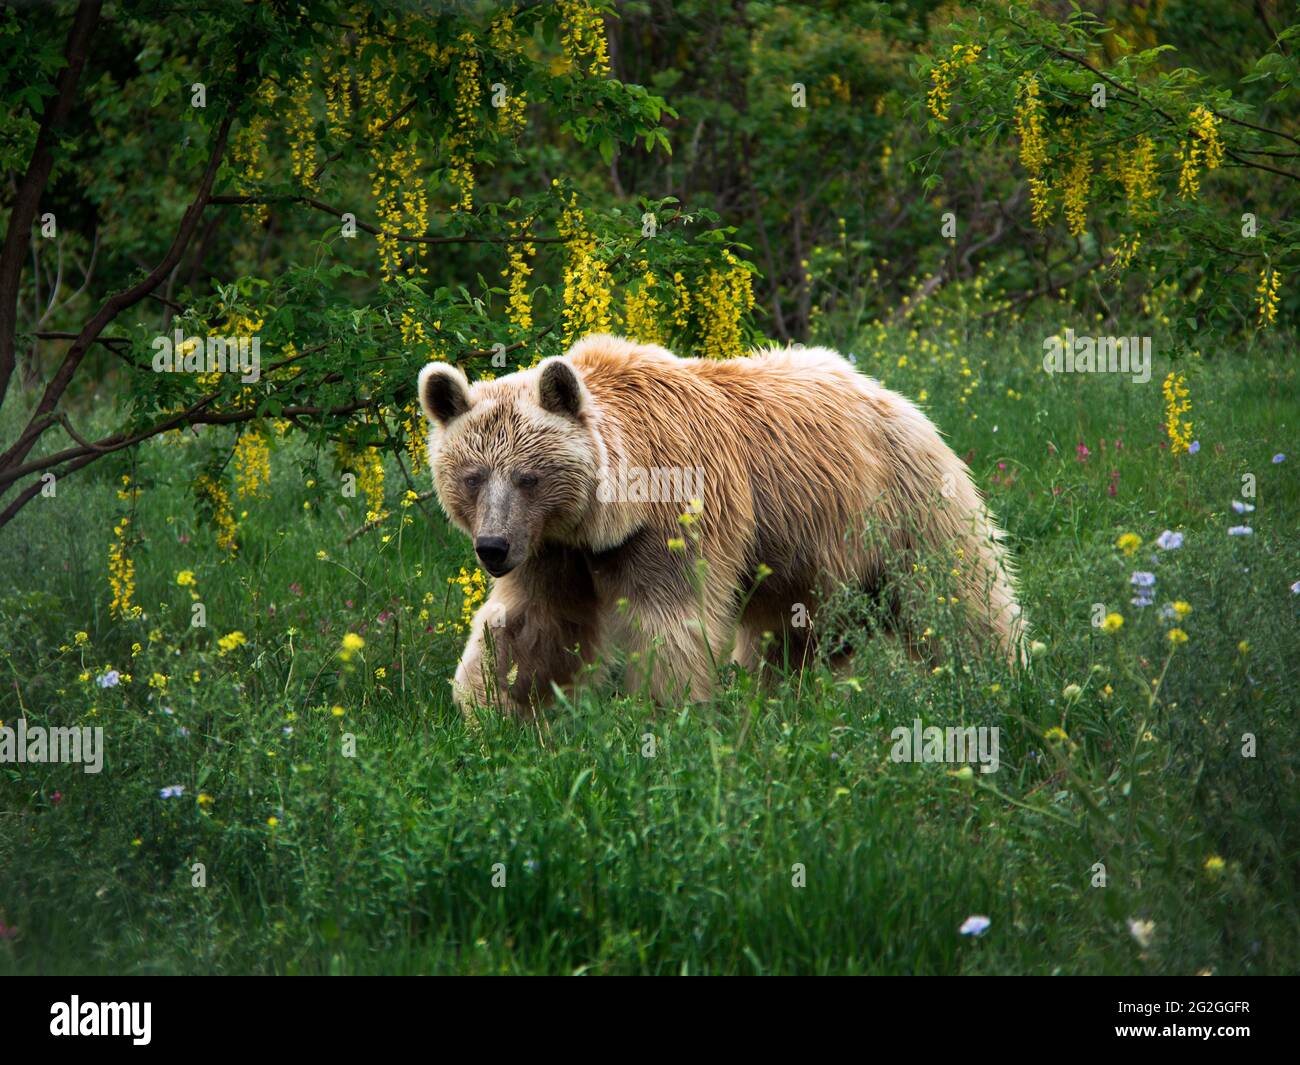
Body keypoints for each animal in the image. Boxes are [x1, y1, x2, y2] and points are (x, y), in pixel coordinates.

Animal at [419, 333, 1024, 717]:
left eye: (529, 477)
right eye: (473, 476)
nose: (492, 548)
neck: (604, 517)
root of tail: (891, 395)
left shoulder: (675, 519)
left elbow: (668, 624)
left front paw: (665, 715)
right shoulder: (552, 548)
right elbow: (528, 625)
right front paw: (491, 714)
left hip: (902, 503)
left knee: (955, 593)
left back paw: (996, 674)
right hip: (803, 549)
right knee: (793, 632)